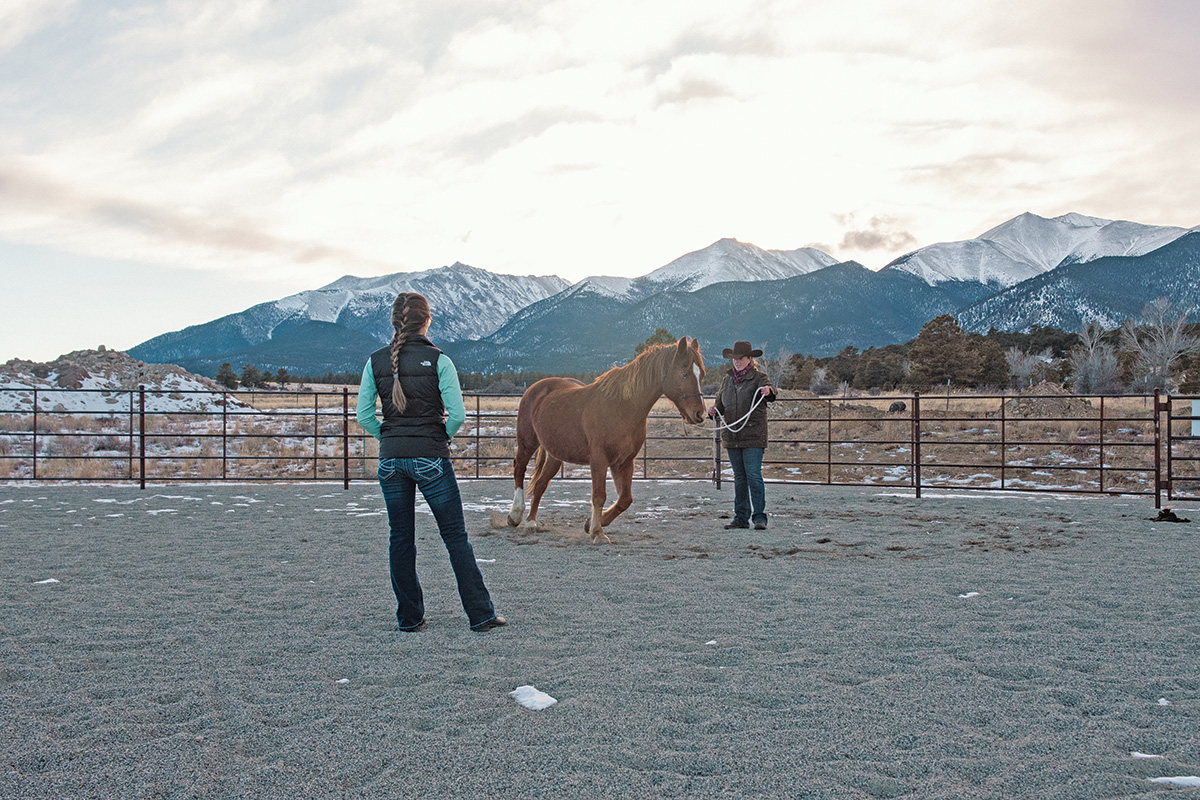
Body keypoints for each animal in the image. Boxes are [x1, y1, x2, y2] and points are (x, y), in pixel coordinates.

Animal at [507, 337, 707, 542]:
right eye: (684, 373)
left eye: (701, 375)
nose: (699, 414)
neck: (621, 408)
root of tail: (536, 388)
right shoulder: (599, 460)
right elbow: (599, 496)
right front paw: (597, 532)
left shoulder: (624, 461)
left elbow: (625, 500)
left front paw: (592, 524)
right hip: (527, 442)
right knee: (519, 468)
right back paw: (515, 515)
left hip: (555, 454)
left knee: (540, 484)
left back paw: (531, 522)